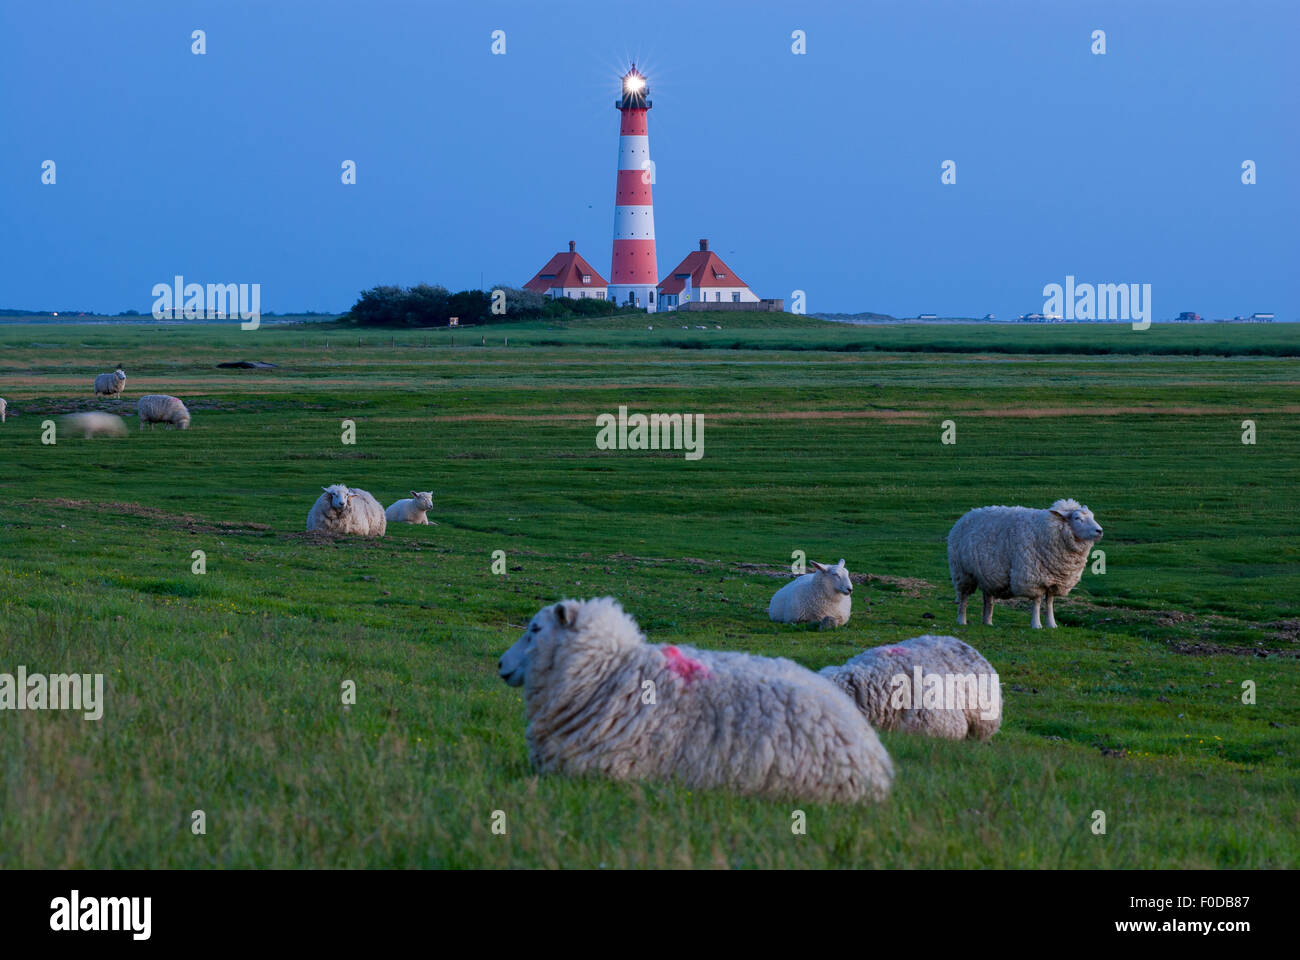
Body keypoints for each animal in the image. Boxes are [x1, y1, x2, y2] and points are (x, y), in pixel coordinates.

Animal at [947, 499, 1103, 629]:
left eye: (1092, 516)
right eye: (1077, 518)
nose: (1099, 531)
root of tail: (967, 515)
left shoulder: (1055, 580)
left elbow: (1050, 601)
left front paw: (1051, 624)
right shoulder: (1033, 578)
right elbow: (1037, 601)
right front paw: (1036, 624)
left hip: (987, 574)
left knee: (988, 598)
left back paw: (987, 621)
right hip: (963, 572)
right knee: (964, 597)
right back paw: (961, 620)